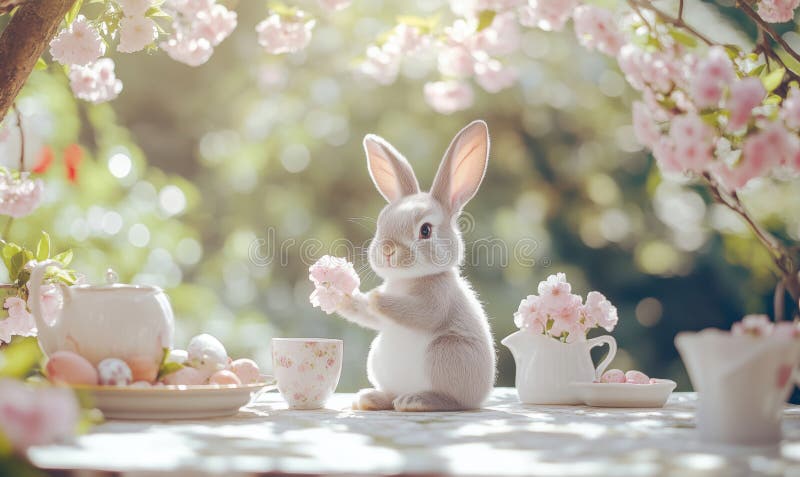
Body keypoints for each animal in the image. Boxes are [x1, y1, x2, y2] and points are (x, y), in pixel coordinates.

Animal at [335, 120, 496, 412]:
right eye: (381, 223)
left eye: (425, 230)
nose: (387, 250)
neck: (406, 279)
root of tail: (480, 397)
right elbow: (369, 316)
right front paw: (342, 299)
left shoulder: (438, 299)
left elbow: (420, 313)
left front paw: (376, 297)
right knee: (390, 394)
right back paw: (371, 399)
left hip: (444, 354)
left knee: (452, 401)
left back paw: (415, 401)